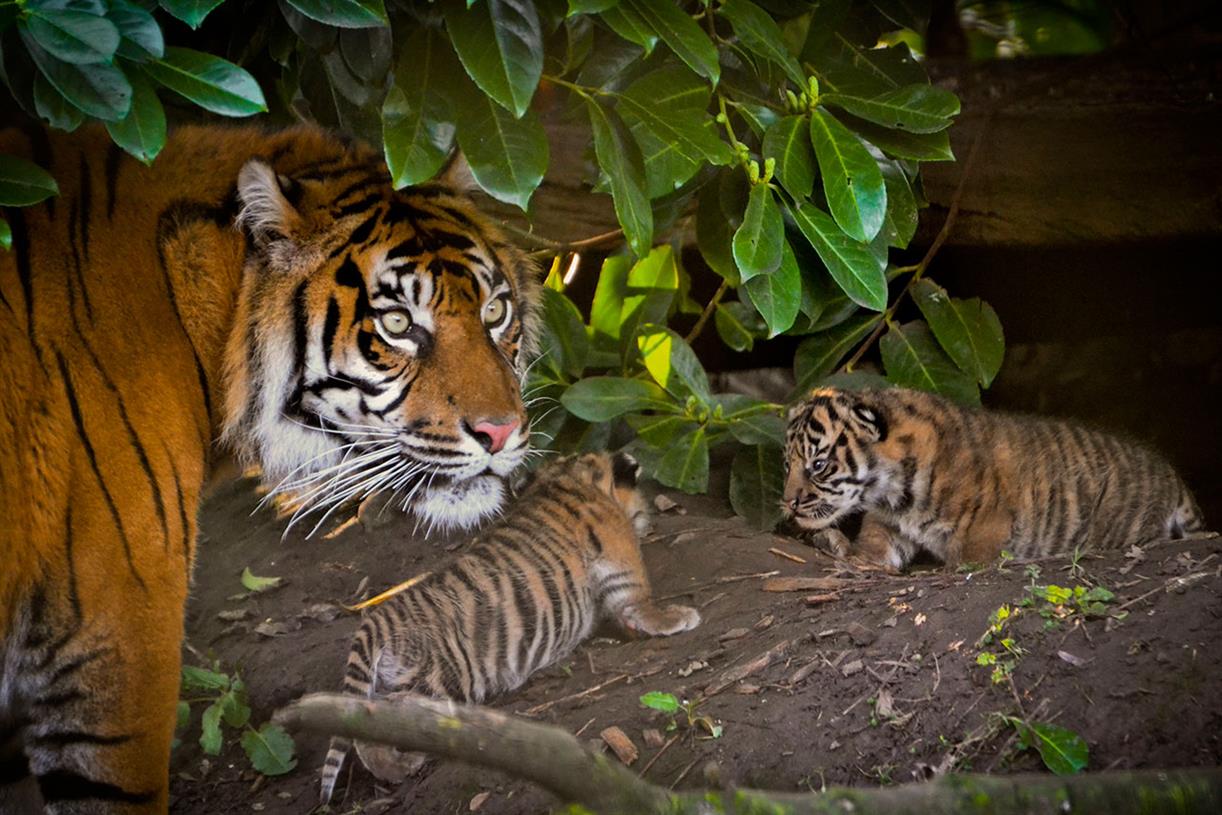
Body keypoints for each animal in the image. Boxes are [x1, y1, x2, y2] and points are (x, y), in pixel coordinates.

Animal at [317, 451, 700, 804]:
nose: (649, 519)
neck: (567, 478)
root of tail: (373, 623)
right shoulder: (620, 558)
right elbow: (639, 599)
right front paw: (677, 617)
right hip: (438, 679)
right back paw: (402, 766)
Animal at [783, 386, 1205, 570]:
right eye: (787, 464)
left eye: (818, 465)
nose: (789, 503)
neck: (892, 492)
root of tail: (1172, 473)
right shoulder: (889, 524)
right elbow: (872, 549)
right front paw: (847, 553)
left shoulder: (988, 525)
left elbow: (969, 560)